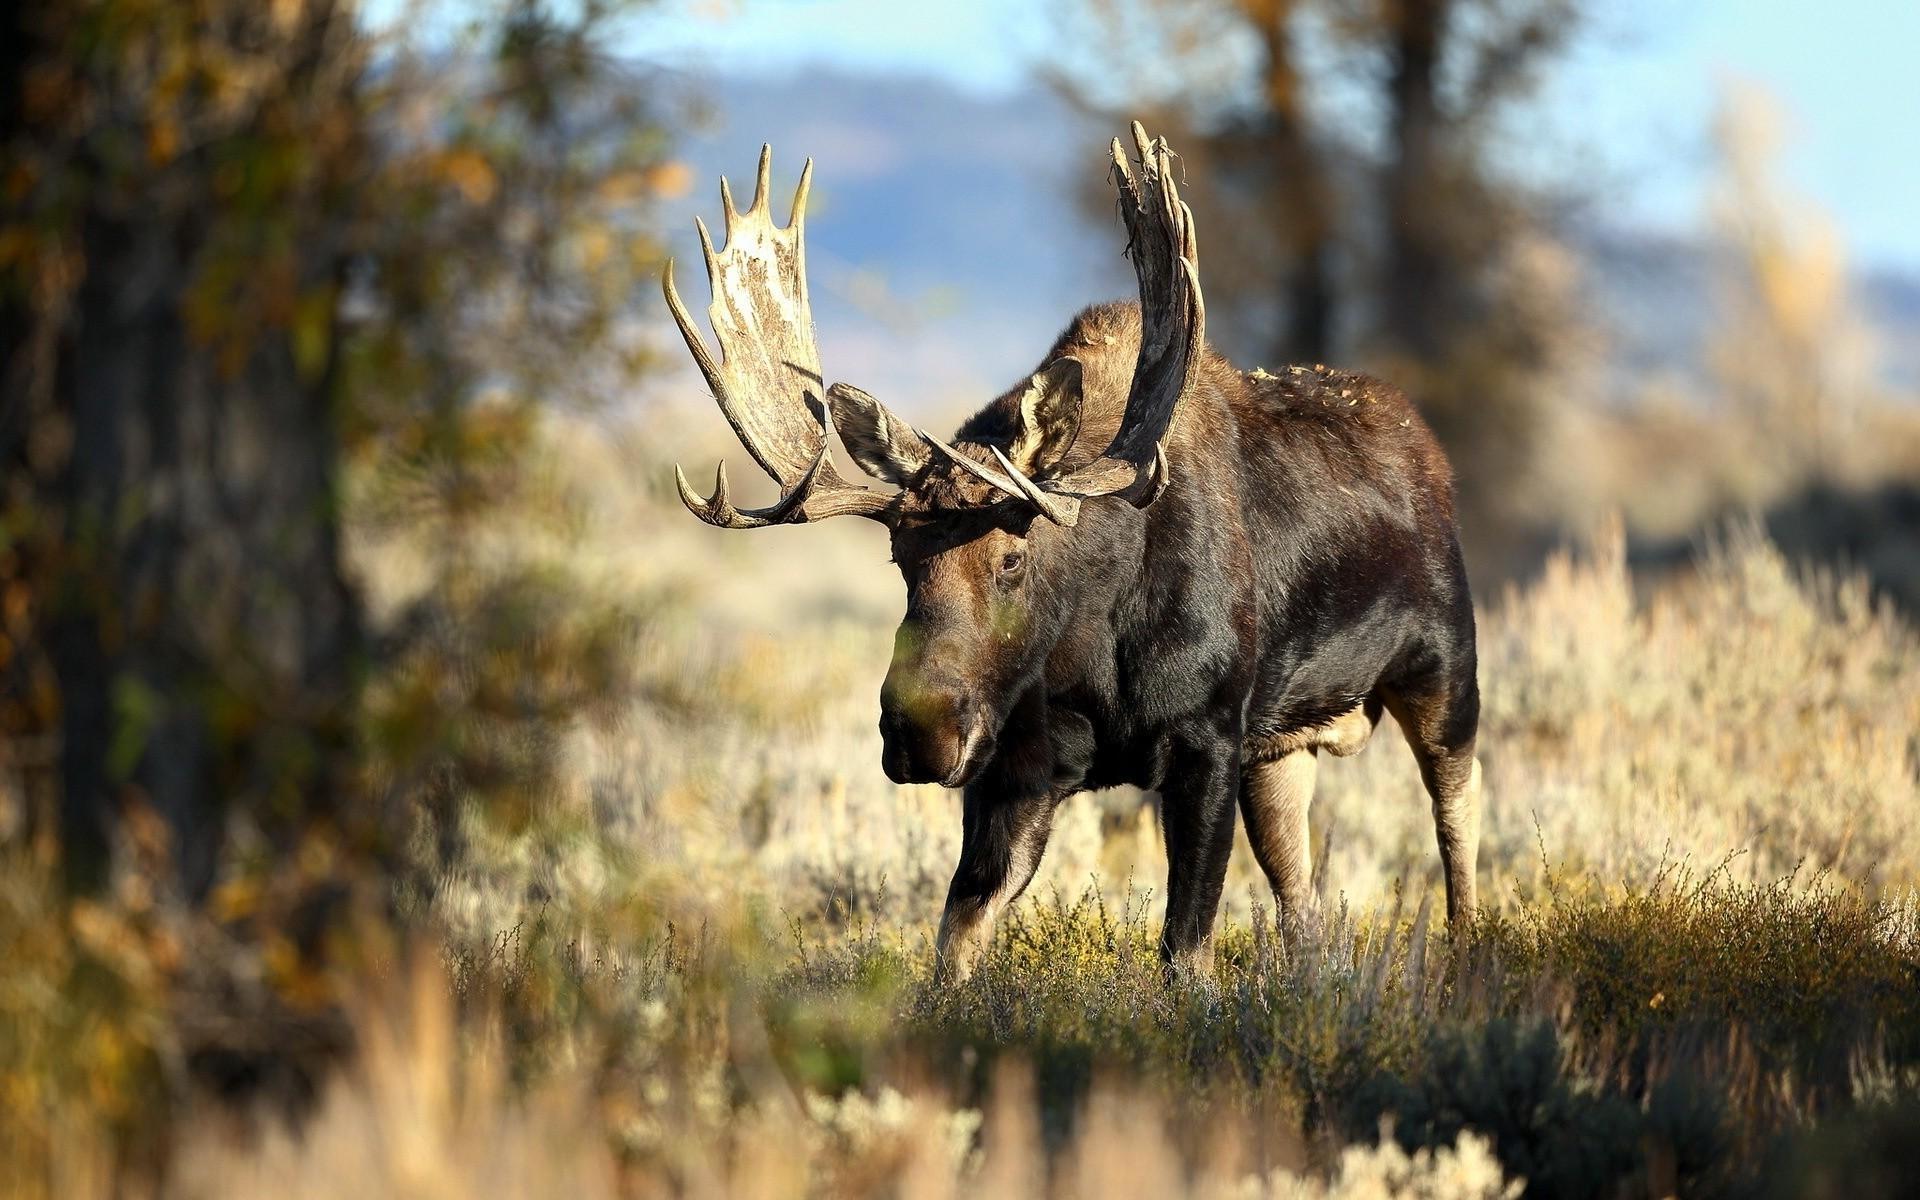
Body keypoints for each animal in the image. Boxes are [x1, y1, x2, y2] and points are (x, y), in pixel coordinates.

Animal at [664, 124, 1482, 981]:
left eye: (1013, 559)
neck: (1097, 654)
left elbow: (1185, 949)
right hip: (1286, 742)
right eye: (900, 559)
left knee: (1459, 812)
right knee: (1301, 890)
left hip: (1443, 669)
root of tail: (1427, 447)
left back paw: (1470, 949)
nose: (919, 729)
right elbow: (957, 939)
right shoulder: (1018, 769)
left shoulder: (1209, 739)